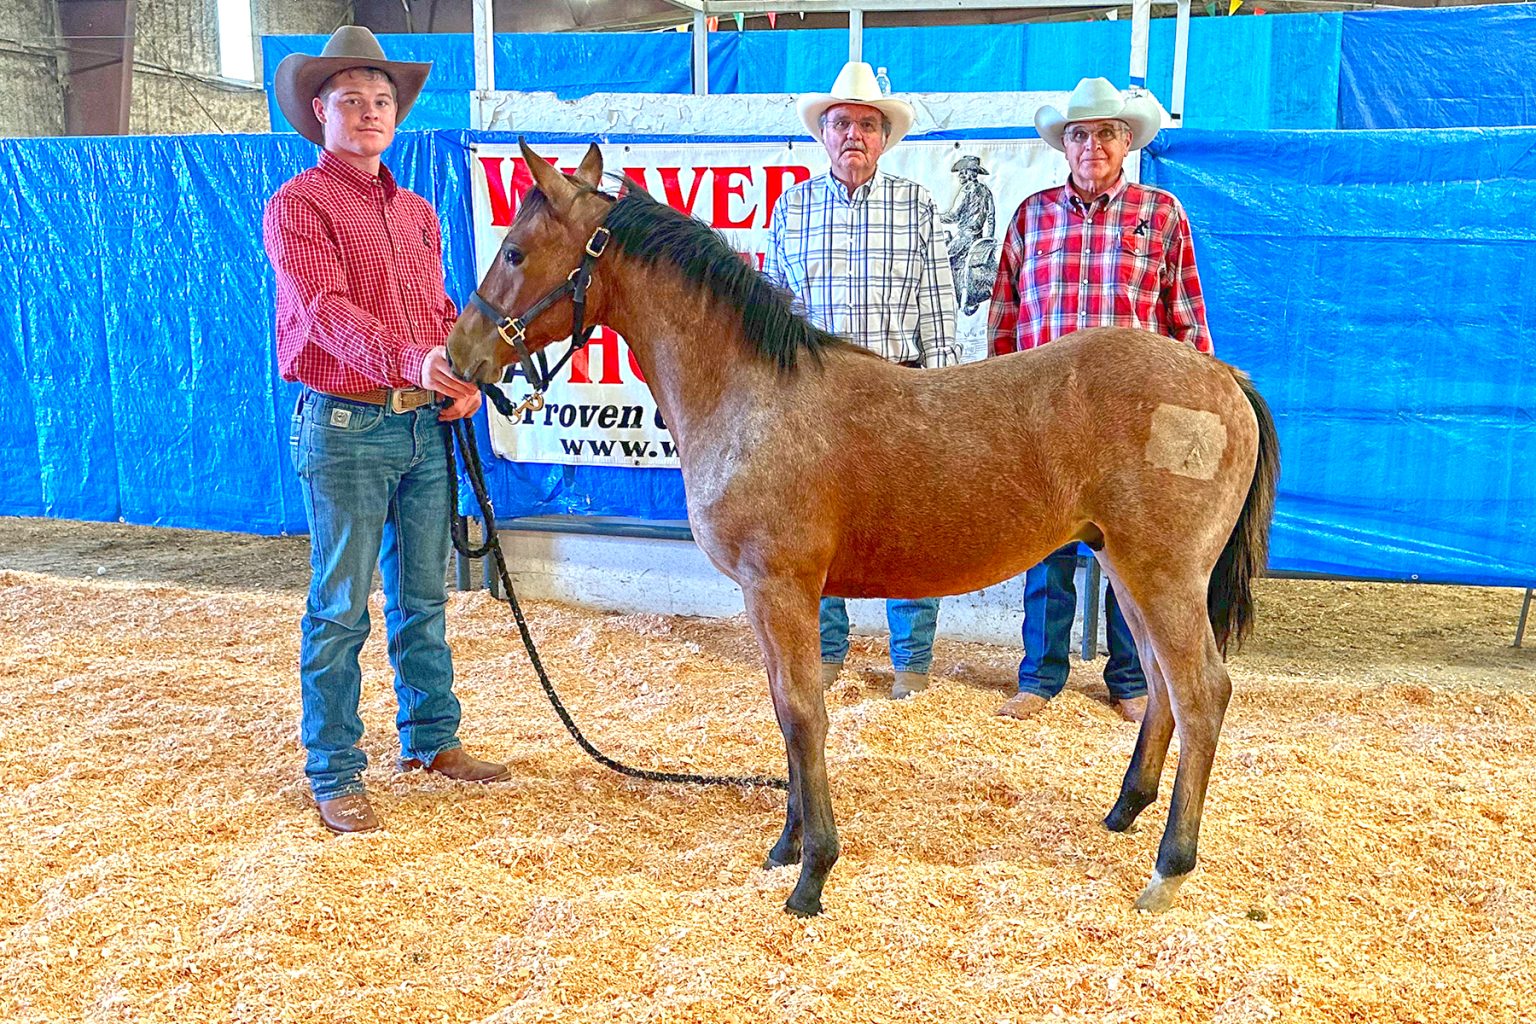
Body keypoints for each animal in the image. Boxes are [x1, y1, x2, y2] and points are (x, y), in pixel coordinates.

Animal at [447, 142, 1280, 918]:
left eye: (514, 252)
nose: (459, 356)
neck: (753, 393)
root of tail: (1223, 378)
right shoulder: (765, 597)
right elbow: (784, 710)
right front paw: (785, 848)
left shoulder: (780, 588)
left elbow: (802, 713)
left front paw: (812, 872)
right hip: (1127, 568)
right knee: (1166, 689)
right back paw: (1124, 812)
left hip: (1162, 575)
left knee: (1201, 692)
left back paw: (1168, 869)